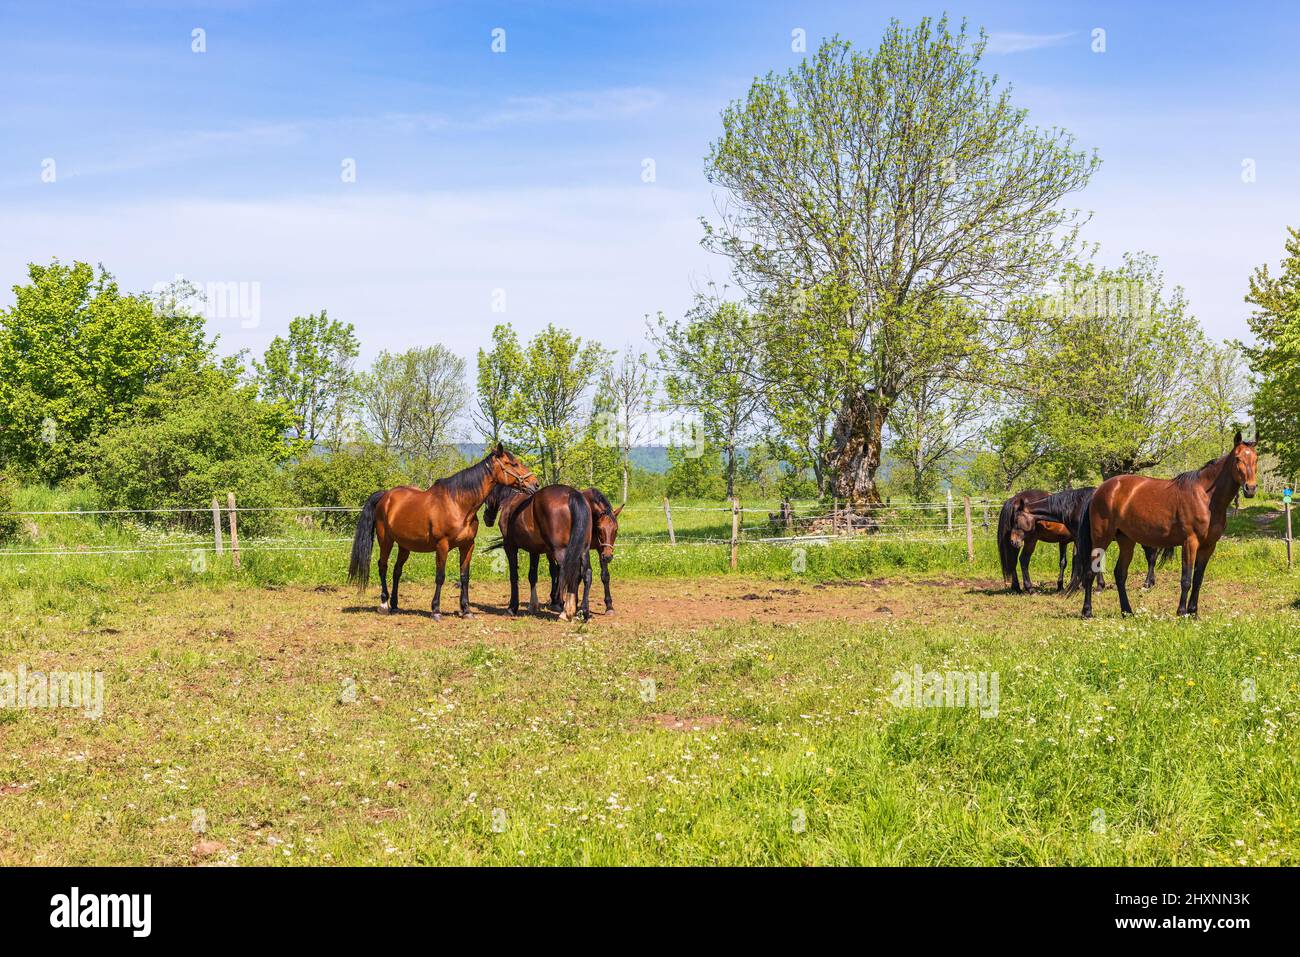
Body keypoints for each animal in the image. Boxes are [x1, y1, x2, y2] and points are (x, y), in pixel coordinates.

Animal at [347, 444, 538, 620]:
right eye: (513, 463)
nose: (535, 484)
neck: (458, 504)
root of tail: (385, 496)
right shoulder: (442, 546)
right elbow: (440, 576)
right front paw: (436, 610)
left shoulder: (468, 546)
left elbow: (464, 577)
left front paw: (466, 610)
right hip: (385, 540)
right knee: (383, 566)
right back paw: (384, 604)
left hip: (404, 546)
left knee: (396, 570)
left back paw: (394, 605)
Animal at [483, 483, 592, 621]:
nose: (486, 518)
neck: (511, 499)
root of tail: (571, 494)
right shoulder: (534, 550)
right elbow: (532, 576)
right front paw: (533, 605)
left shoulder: (510, 546)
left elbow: (514, 576)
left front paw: (512, 608)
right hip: (583, 550)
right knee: (586, 573)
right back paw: (583, 612)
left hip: (562, 551)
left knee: (571, 572)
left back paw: (566, 611)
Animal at [1050, 432, 1256, 618]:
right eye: (1237, 458)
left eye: (1255, 459)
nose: (1251, 488)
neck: (1205, 497)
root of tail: (1100, 490)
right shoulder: (1190, 543)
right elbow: (1186, 579)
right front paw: (1182, 612)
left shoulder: (1208, 546)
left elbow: (1198, 580)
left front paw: (1193, 612)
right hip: (1102, 538)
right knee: (1090, 573)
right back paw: (1087, 612)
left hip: (1126, 541)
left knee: (1120, 574)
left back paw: (1127, 611)